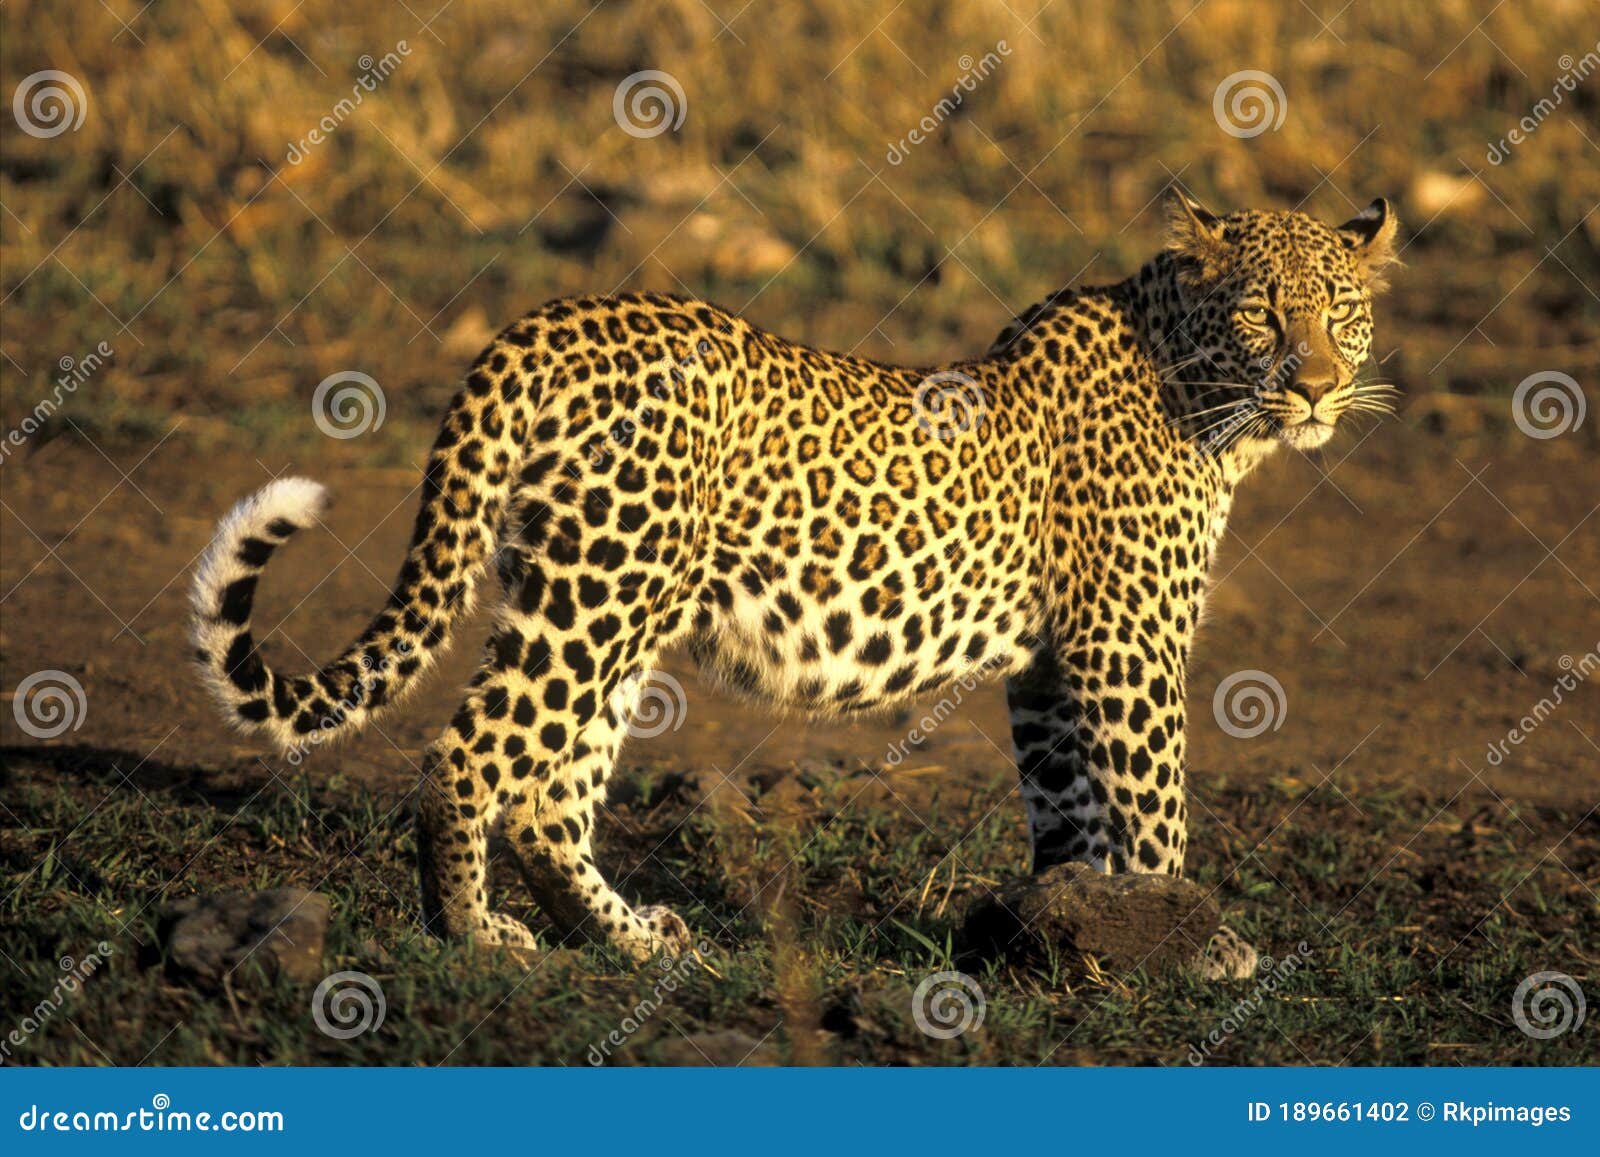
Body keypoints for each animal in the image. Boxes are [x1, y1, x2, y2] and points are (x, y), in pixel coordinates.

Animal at [191, 191, 1399, 967]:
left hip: (600, 598)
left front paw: (1074, 923)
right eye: (1262, 312)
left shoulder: (1051, 667)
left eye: (1341, 313)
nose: (1318, 386)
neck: (1201, 396)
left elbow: (1067, 809)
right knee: (472, 755)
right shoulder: (1125, 644)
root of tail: (547, 322)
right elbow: (1153, 806)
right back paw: (475, 939)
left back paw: (631, 940)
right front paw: (1196, 939)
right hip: (601, 593)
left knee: (547, 788)